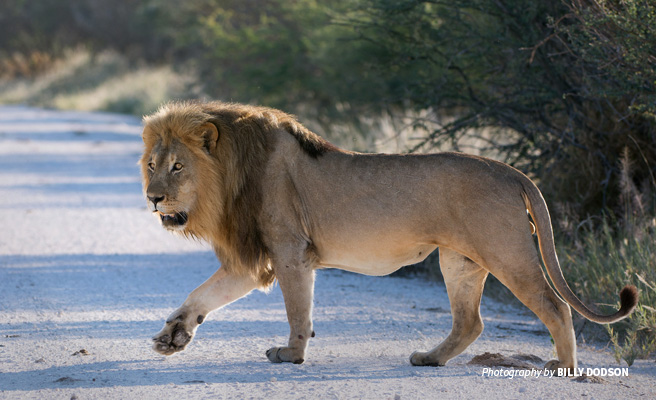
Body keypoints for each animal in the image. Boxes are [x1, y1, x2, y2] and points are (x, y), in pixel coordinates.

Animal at [140, 100, 637, 370]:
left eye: (178, 166)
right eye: (151, 164)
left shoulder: (289, 250)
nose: (152, 198)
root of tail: (511, 171)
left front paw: (292, 354)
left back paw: (566, 367)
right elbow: (202, 294)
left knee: (555, 307)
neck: (228, 177)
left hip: (508, 252)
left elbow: (298, 311)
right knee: (470, 322)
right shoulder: (260, 258)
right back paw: (430, 359)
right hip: (459, 261)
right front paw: (172, 336)